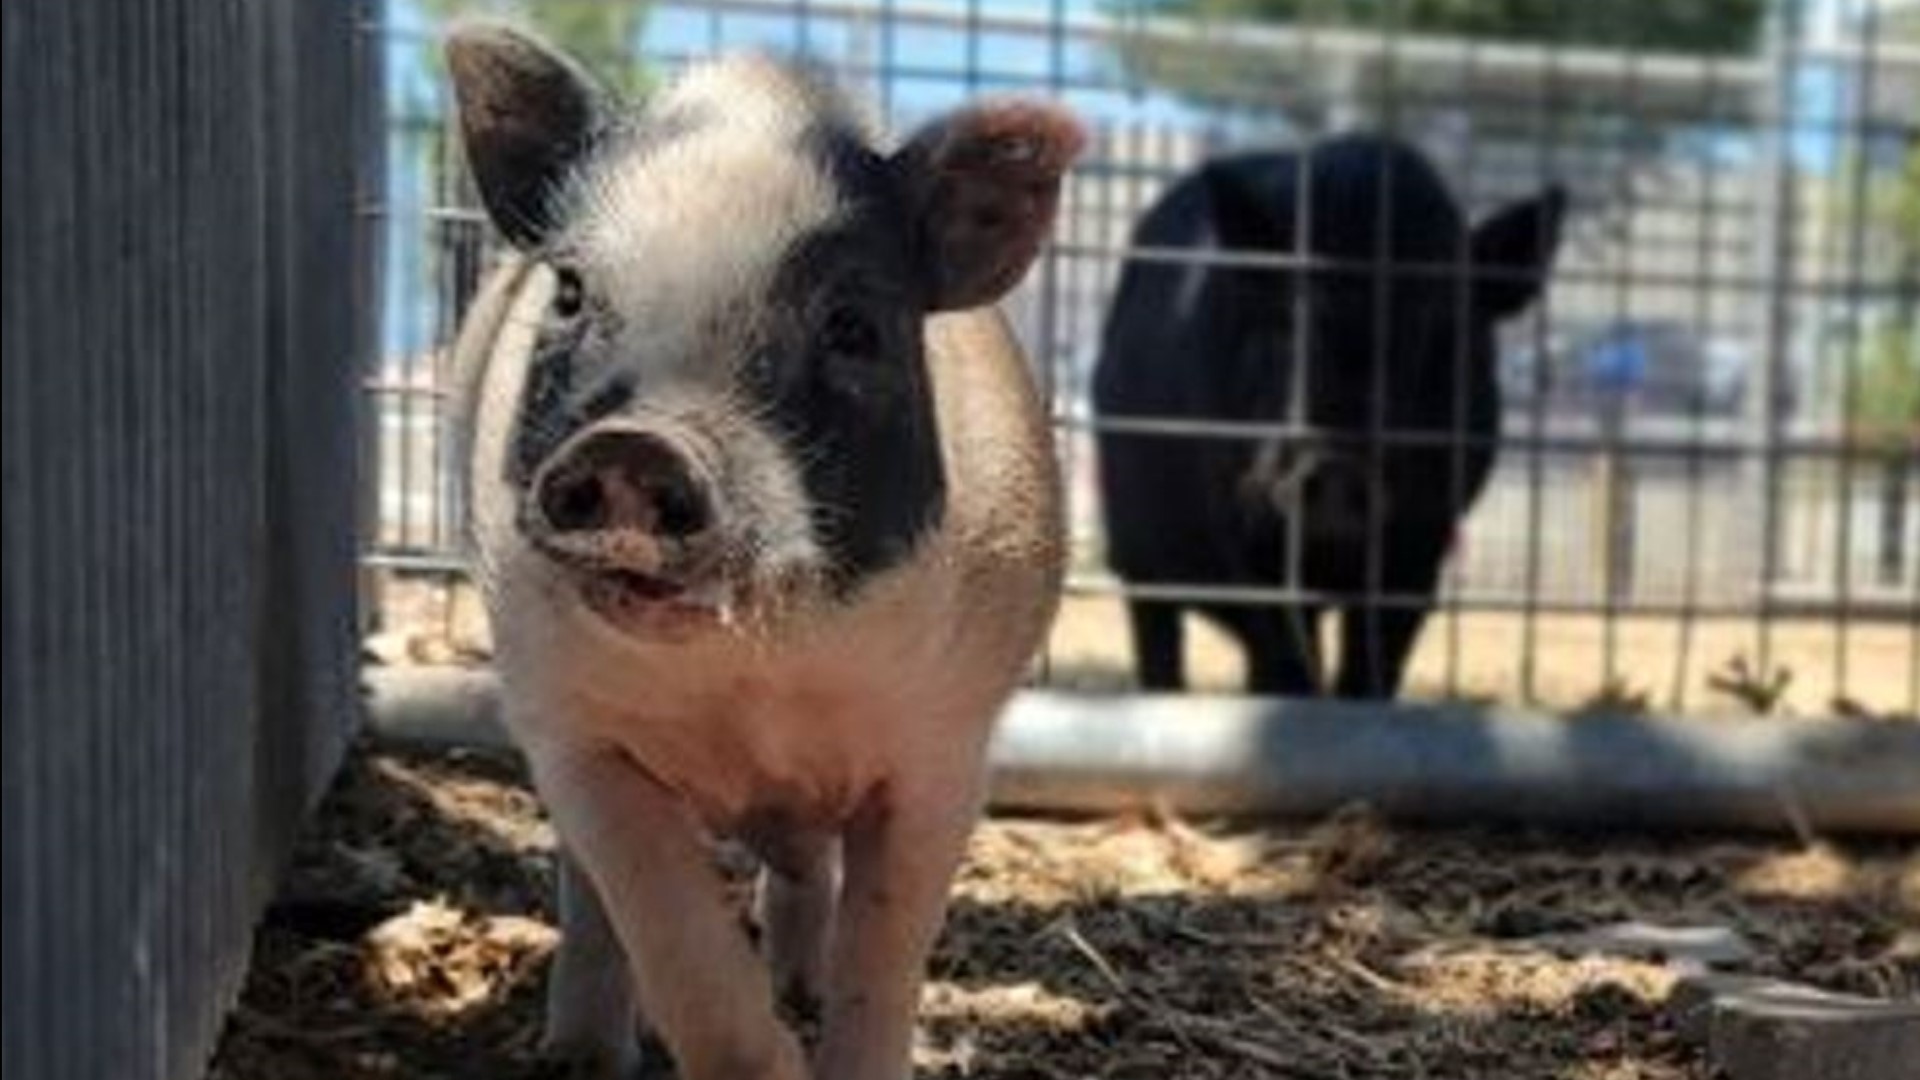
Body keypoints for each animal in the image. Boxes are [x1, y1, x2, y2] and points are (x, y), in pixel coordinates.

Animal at [444, 23, 1080, 1080]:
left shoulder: (945, 744)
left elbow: (884, 957)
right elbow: (681, 953)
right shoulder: (569, 728)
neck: (754, 679)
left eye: (855, 326)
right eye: (570, 293)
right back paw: (581, 1053)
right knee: (593, 900)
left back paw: (799, 987)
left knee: (804, 877)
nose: (637, 444)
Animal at [1093, 136, 1564, 699]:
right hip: (1134, 557)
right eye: (1284, 325)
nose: (1337, 464)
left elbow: (1370, 668)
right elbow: (1289, 663)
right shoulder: (1247, 537)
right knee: (1160, 641)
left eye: (1442, 335)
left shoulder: (1421, 551)